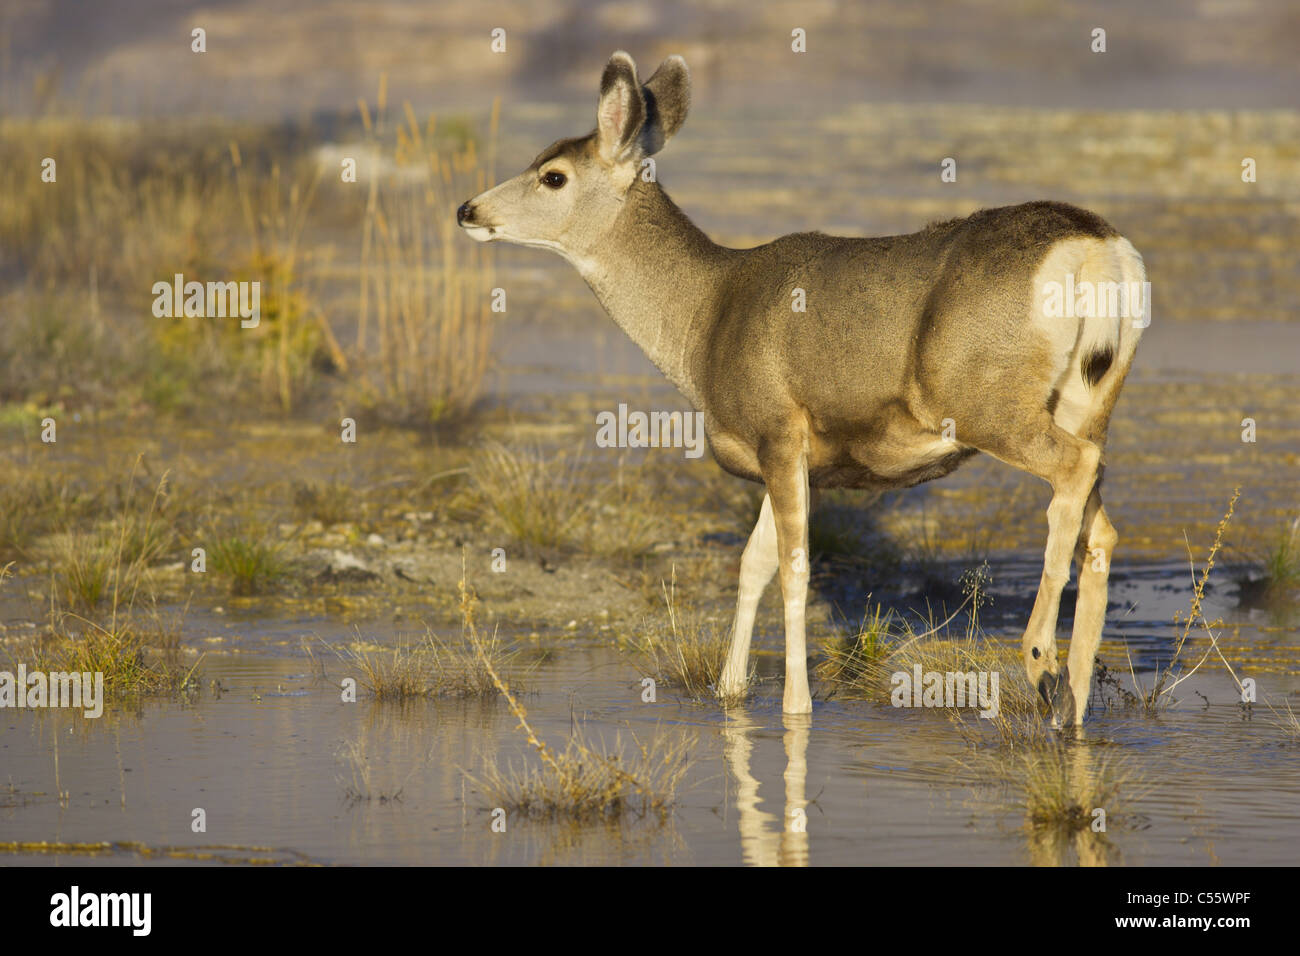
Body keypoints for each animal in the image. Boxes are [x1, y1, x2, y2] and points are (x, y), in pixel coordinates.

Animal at [458, 51, 1146, 726]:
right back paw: (1073, 702)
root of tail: (1099, 250)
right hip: (1090, 398)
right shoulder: (789, 451)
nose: (468, 210)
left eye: (552, 176)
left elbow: (792, 568)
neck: (704, 321)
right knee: (1101, 521)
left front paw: (795, 704)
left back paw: (1039, 659)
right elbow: (753, 563)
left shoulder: (777, 424)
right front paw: (731, 692)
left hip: (982, 398)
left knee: (1072, 470)